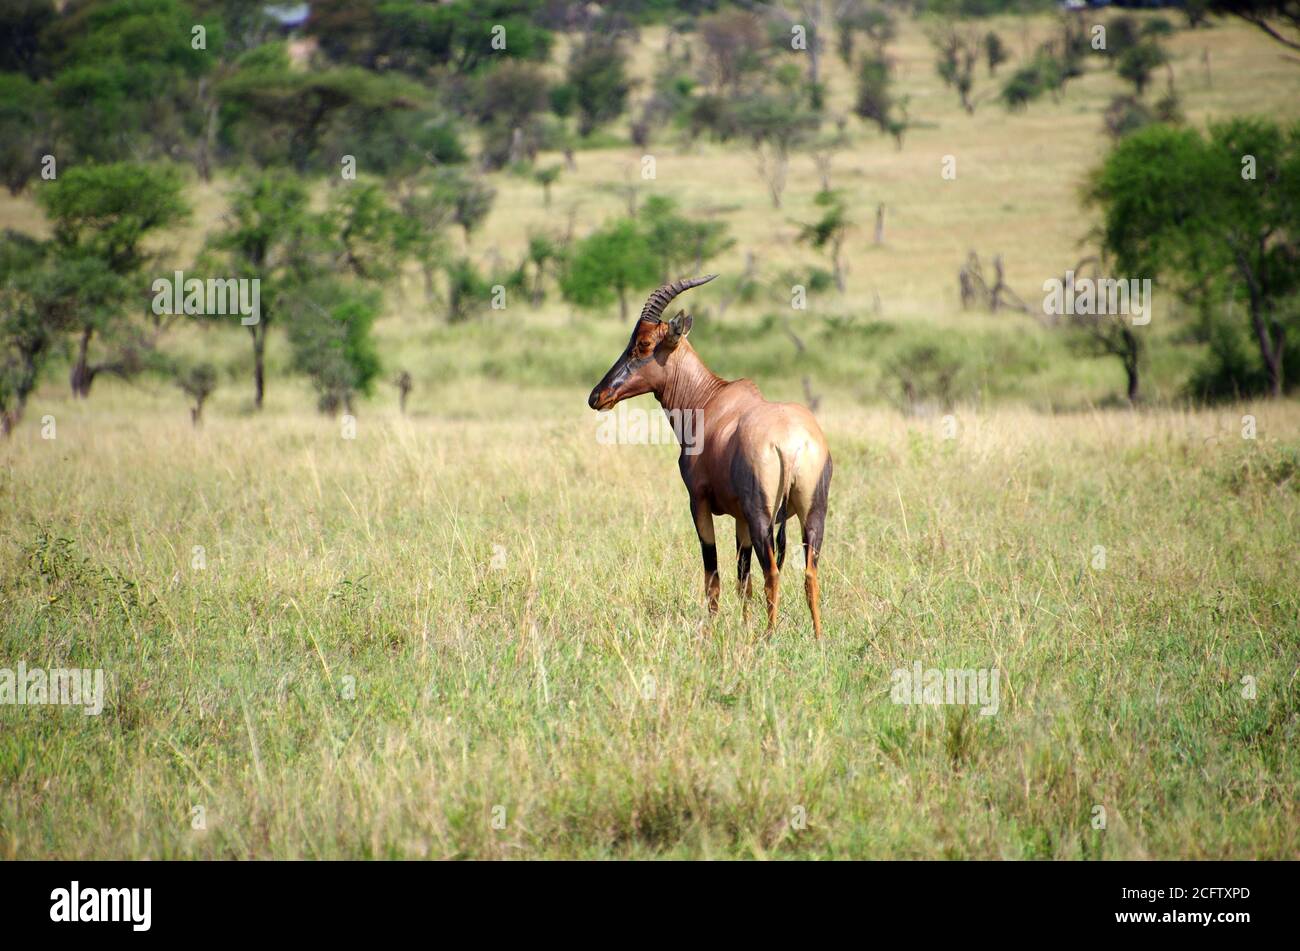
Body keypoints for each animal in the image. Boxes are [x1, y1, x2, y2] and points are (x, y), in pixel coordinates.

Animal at [588, 276, 833, 637]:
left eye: (644, 344)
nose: (597, 396)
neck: (710, 400)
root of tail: (790, 442)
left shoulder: (699, 503)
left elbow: (713, 573)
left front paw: (712, 629)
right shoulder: (740, 518)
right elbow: (742, 578)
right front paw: (743, 627)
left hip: (762, 516)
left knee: (772, 573)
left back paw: (770, 635)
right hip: (813, 513)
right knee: (809, 574)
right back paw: (816, 637)